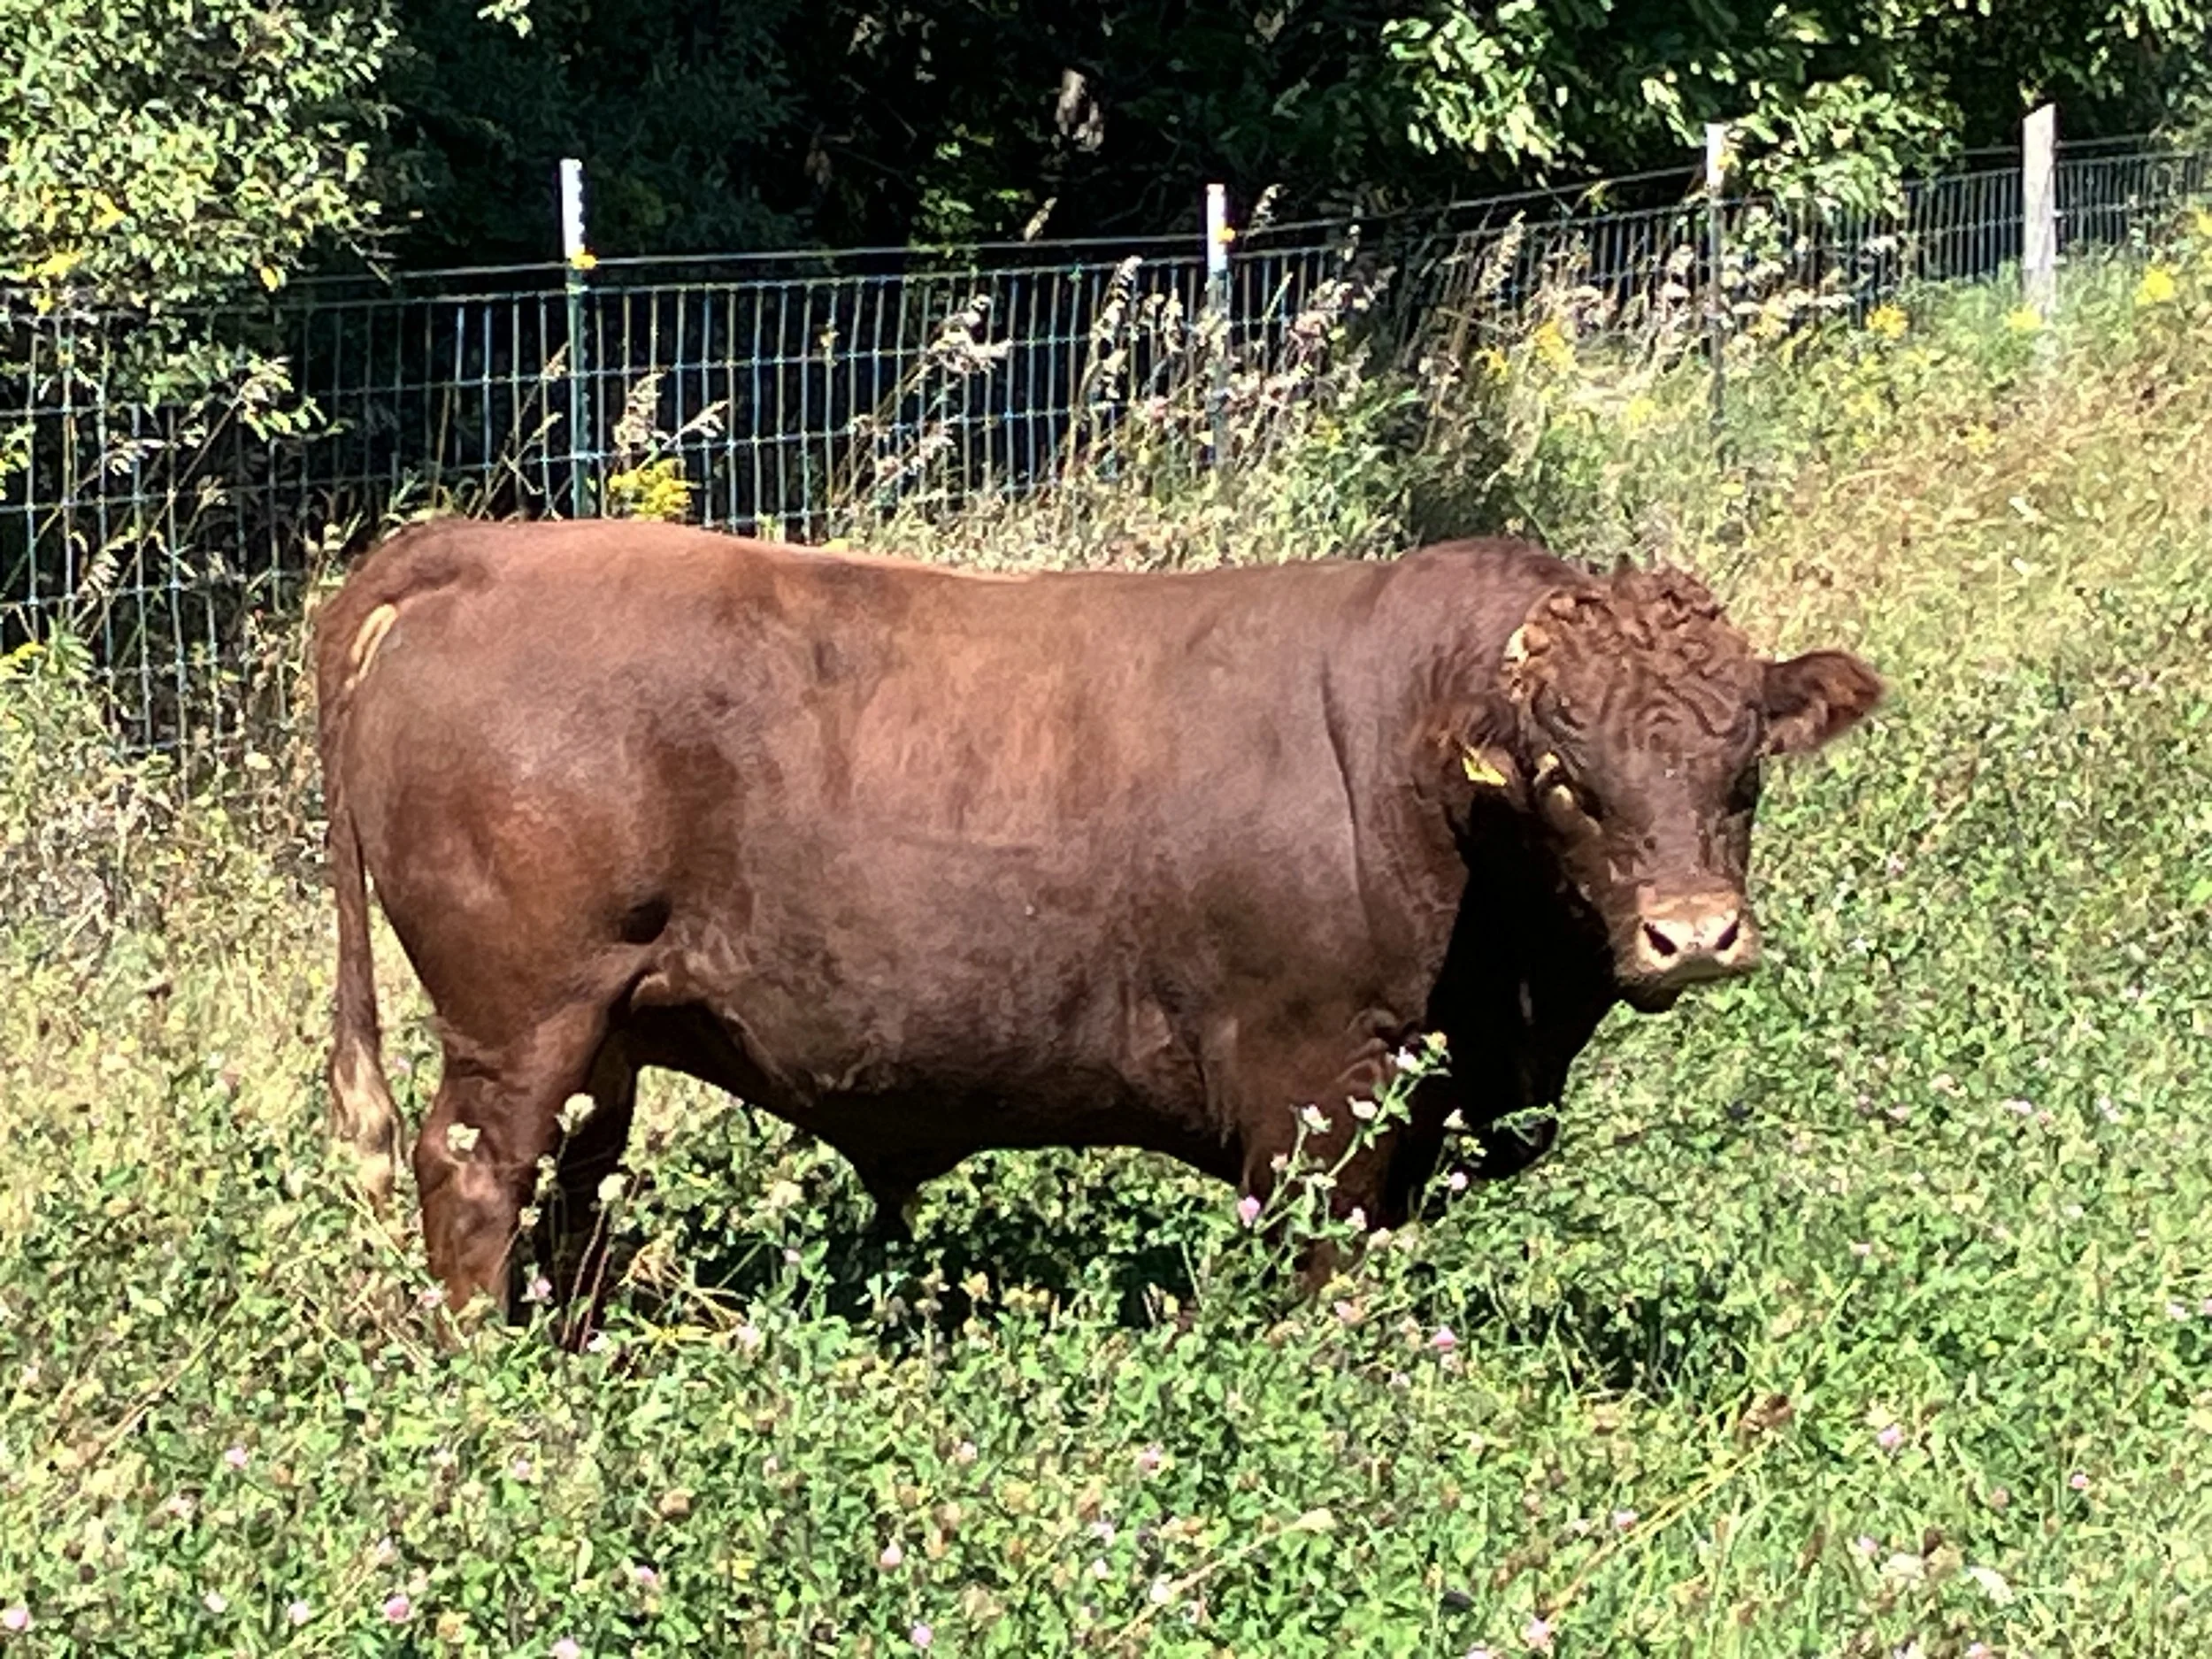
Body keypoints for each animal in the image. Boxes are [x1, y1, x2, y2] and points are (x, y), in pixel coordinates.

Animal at [313, 519, 1881, 1313]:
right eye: (1566, 775)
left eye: (1743, 763)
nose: (1695, 930)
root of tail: (482, 550)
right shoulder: (1318, 1088)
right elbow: (1326, 1274)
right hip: (523, 1016)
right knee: (476, 1182)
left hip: (611, 1034)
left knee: (576, 1197)